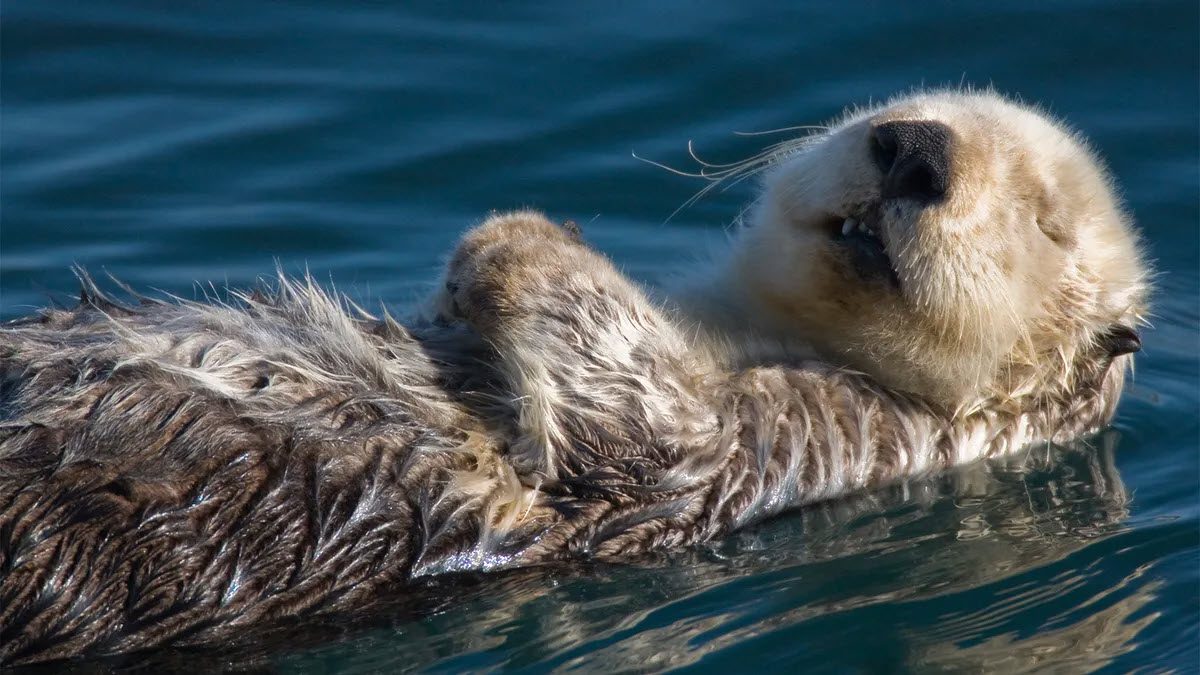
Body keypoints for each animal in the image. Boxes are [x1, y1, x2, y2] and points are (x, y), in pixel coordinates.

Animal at [0, 91, 1148, 664]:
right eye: (908, 108)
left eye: (1044, 220)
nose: (913, 149)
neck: (747, 328)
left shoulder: (808, 439)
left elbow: (641, 422)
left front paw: (513, 239)